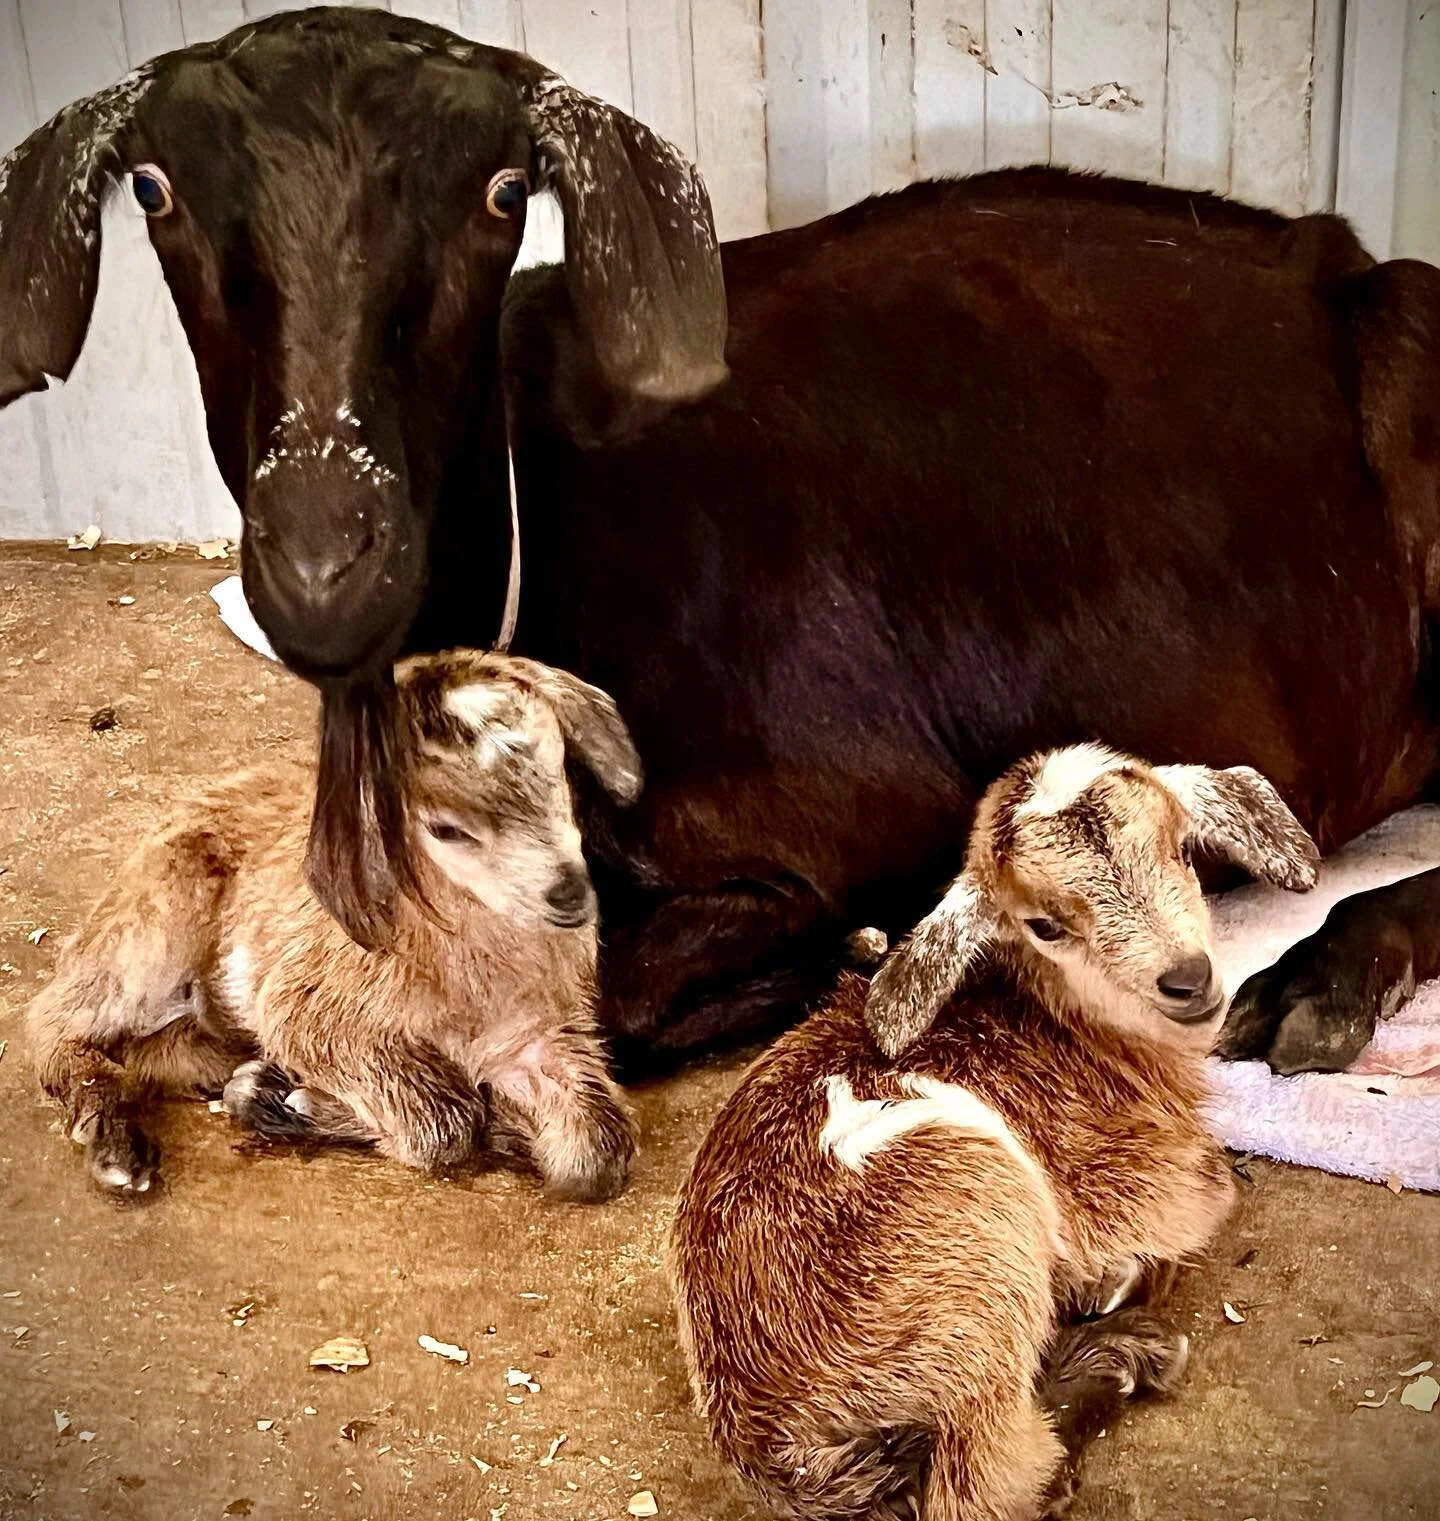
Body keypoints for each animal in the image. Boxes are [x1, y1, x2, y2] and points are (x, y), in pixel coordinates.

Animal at [4, 10, 1440, 1077]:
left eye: (501, 190)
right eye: (156, 188)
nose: (324, 563)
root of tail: (1338, 249)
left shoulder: (862, 793)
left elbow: (610, 993)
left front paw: (843, 953)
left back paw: (1323, 976)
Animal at [26, 651, 642, 1201]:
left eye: (558, 773)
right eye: (445, 828)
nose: (569, 894)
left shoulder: (535, 1035)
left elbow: (596, 1151)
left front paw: (277, 1097)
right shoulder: (309, 1007)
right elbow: (444, 1121)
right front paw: (290, 1103)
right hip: (159, 915)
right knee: (53, 1026)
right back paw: (117, 1149)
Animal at [671, 746, 1319, 1521]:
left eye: (1180, 850)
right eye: (1044, 924)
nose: (1188, 980)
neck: (1058, 1028)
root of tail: (764, 1435)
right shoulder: (1121, 1178)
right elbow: (1215, 1189)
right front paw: (1128, 1270)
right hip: (977, 1238)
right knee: (980, 1480)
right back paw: (1122, 1358)